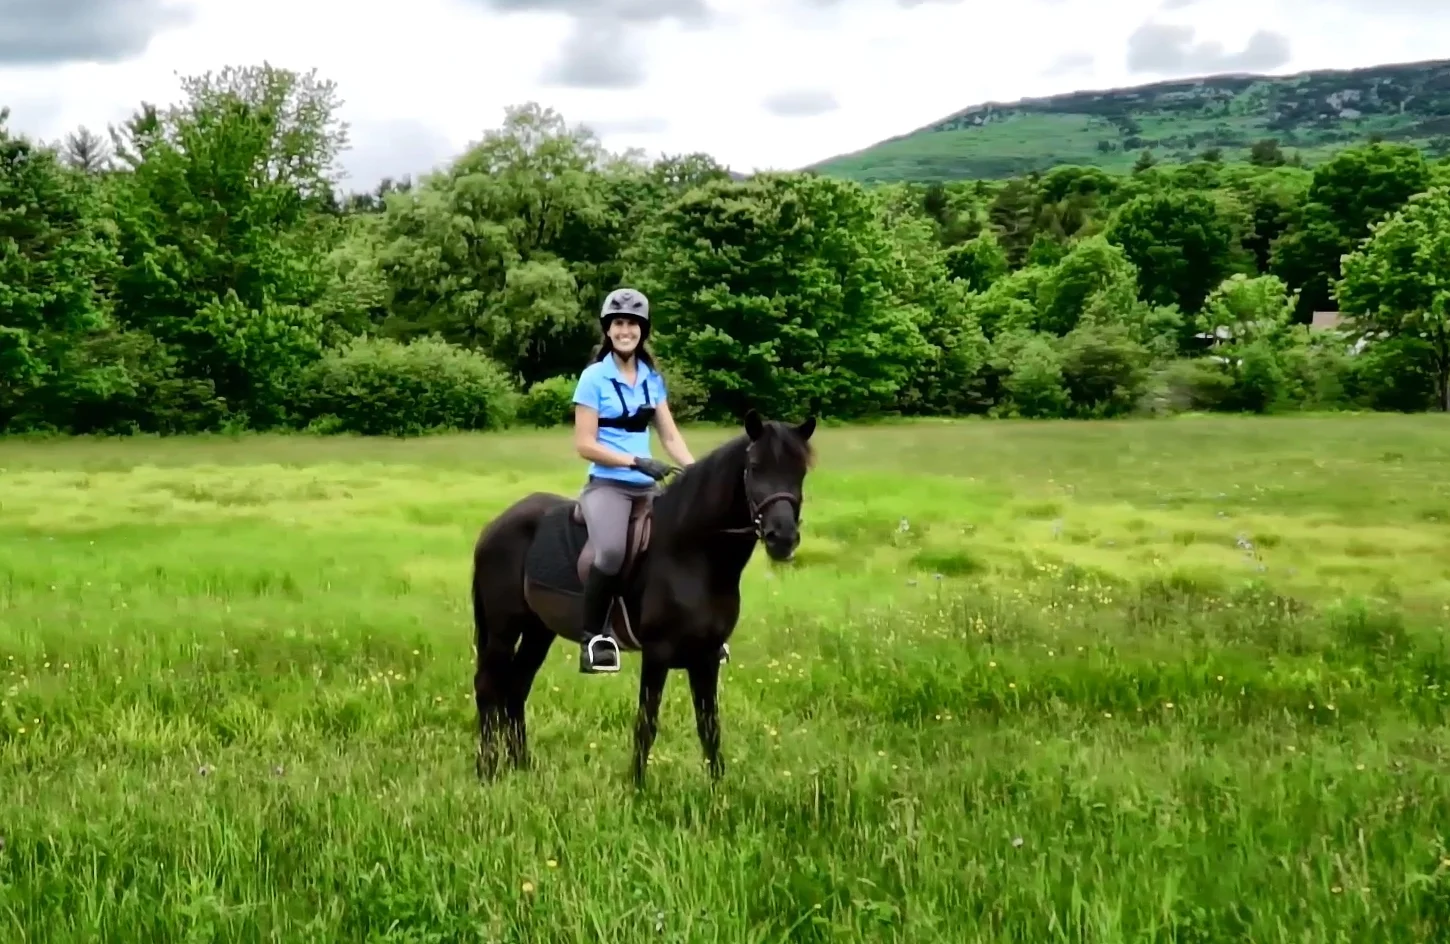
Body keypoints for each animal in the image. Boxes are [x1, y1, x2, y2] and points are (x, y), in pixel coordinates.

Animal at [469, 409, 816, 787]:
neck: (693, 553)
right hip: (503, 629)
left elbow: (709, 725)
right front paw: (637, 787)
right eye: (754, 466)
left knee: (516, 686)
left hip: (538, 630)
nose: (782, 538)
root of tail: (495, 524)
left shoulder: (706, 656)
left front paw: (717, 789)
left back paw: (522, 766)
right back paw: (487, 770)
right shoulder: (657, 652)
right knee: (488, 687)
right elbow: (646, 724)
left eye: (801, 469)